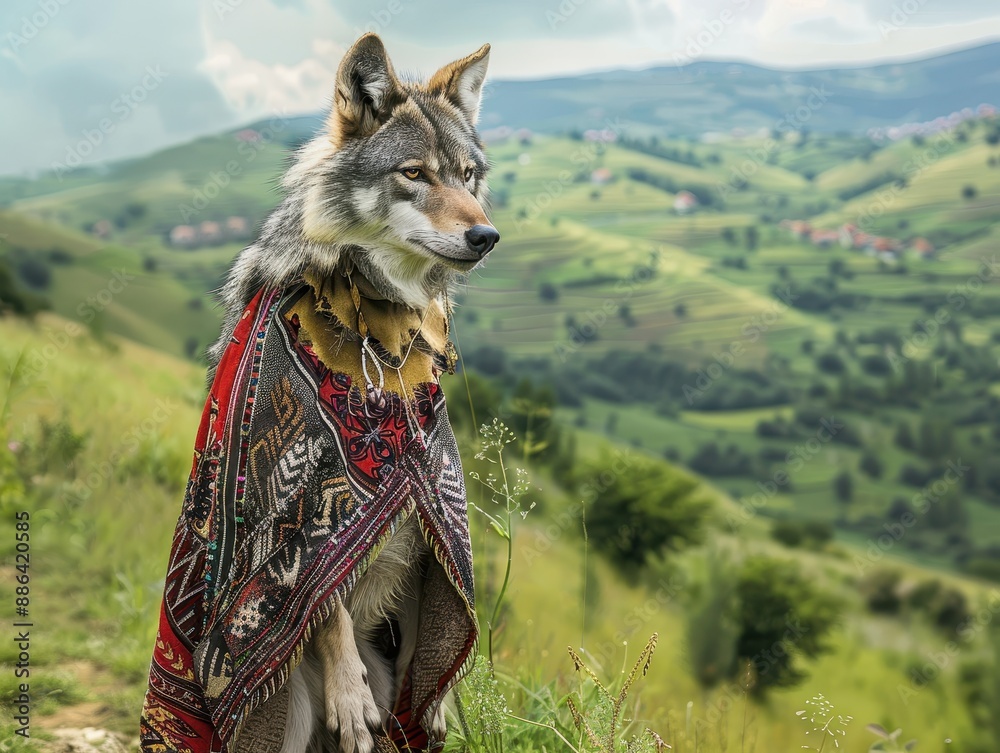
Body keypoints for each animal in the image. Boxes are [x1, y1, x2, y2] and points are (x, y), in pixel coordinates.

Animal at [140, 33, 497, 753]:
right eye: (415, 174)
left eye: (468, 175)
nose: (486, 235)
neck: (372, 325)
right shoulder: (305, 521)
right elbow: (324, 606)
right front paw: (350, 694)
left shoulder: (425, 523)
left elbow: (426, 647)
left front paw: (436, 701)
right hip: (287, 716)